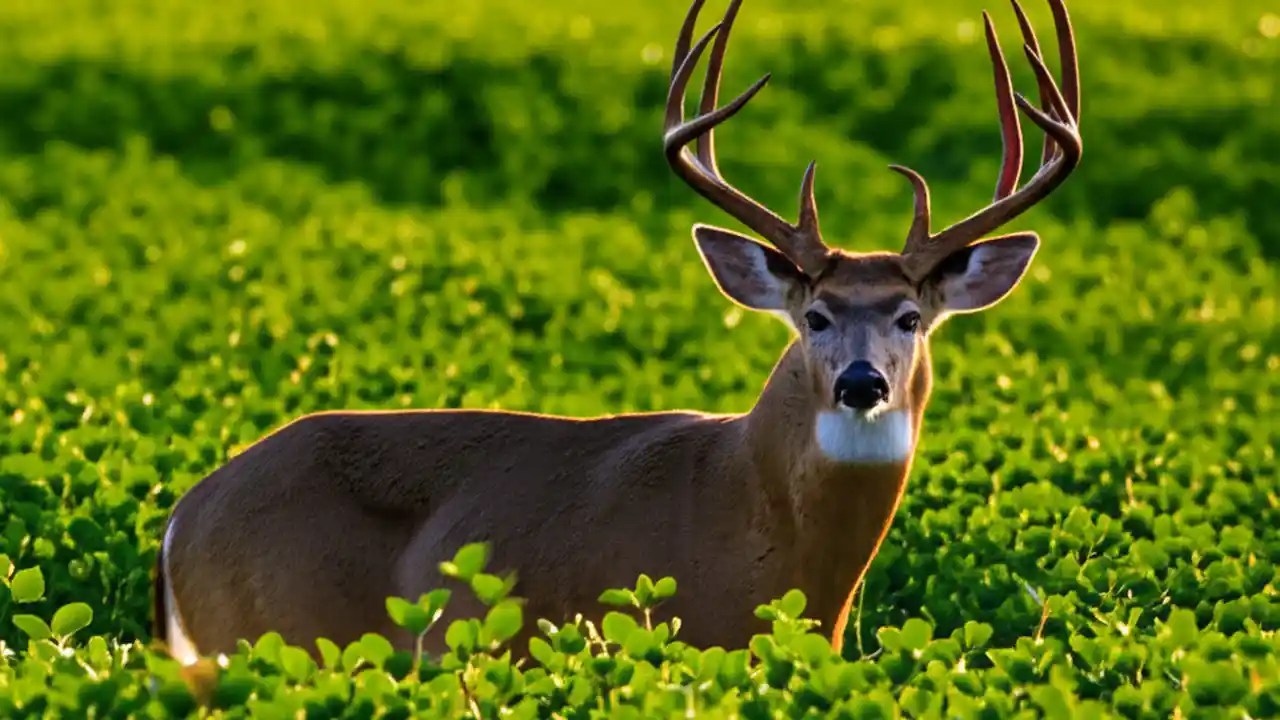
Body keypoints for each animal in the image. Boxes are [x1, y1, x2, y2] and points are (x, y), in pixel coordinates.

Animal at [154, 0, 1081, 665]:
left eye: (910, 316)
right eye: (814, 315)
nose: (862, 382)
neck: (766, 529)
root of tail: (181, 518)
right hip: (276, 632)